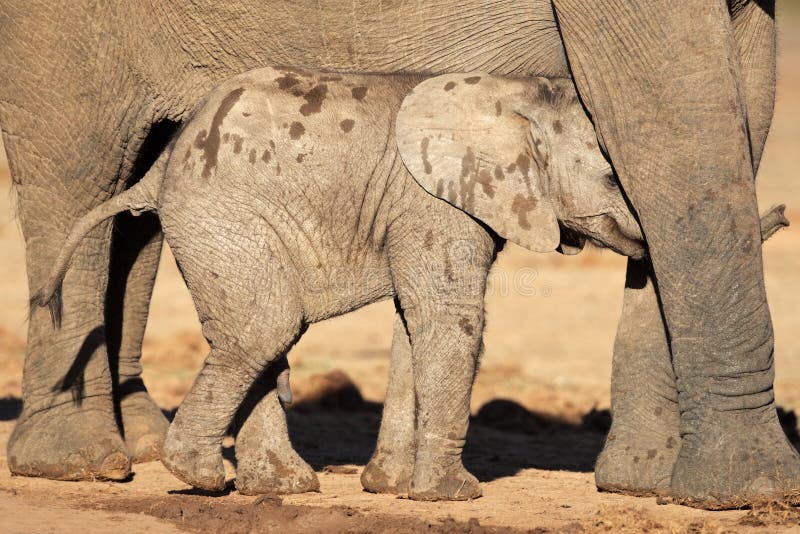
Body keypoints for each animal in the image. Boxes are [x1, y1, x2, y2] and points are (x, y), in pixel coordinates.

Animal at [33, 68, 650, 498]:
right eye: (611, 174)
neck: (515, 92)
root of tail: (158, 168)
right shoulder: (432, 204)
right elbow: (449, 319)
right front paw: (454, 495)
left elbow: (412, 327)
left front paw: (392, 489)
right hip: (223, 218)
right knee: (264, 328)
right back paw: (204, 479)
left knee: (255, 334)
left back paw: (282, 487)